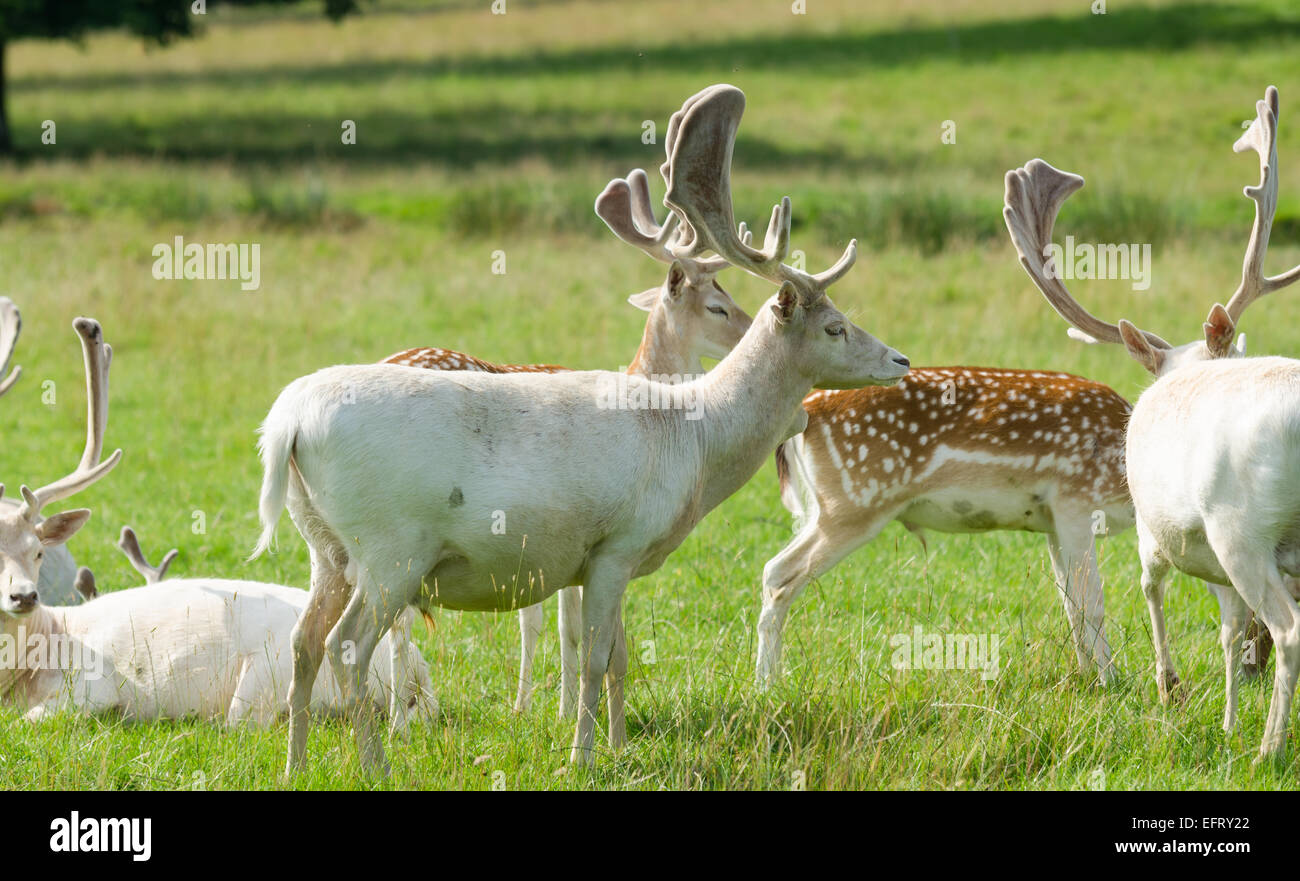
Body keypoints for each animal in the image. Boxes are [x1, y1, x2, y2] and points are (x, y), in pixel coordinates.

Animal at [382, 167, 752, 718]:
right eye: (718, 307)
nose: (755, 330)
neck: (641, 379)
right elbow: (563, 624)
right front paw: (554, 710)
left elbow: (543, 620)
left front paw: (535, 705)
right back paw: (401, 717)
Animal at [1003, 86, 1300, 758]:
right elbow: (1230, 633)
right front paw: (1225, 718)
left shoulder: (1154, 528)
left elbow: (1152, 590)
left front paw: (1171, 691)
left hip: (1241, 530)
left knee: (1288, 630)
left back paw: (1269, 749)